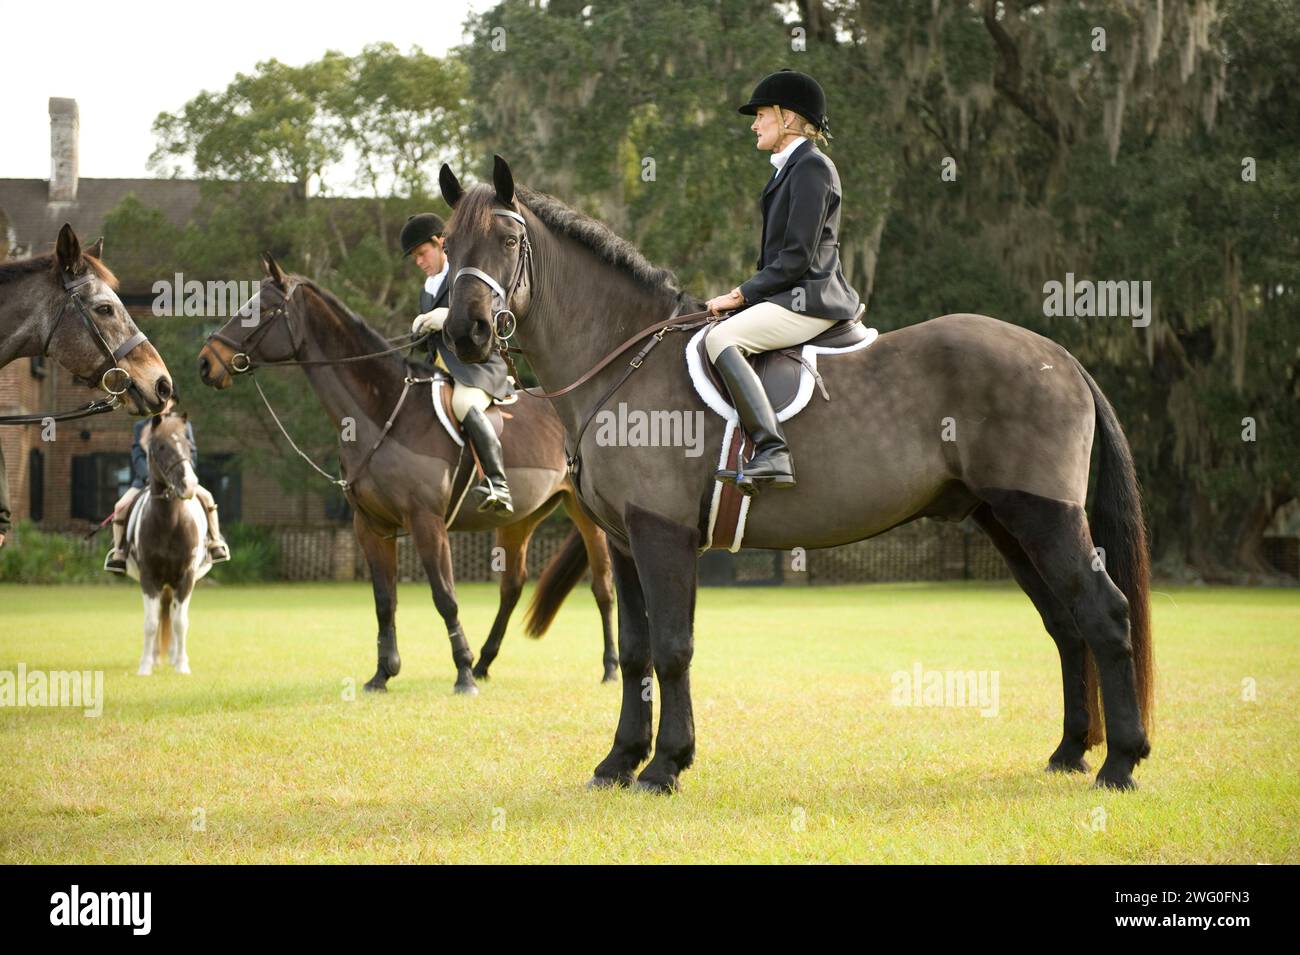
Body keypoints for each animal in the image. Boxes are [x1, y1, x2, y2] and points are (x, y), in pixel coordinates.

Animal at [128, 412, 211, 676]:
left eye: (188, 445)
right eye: (160, 447)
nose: (189, 484)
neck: (169, 522)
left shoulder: (186, 578)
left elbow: (180, 622)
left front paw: (182, 665)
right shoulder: (148, 579)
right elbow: (151, 623)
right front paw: (145, 666)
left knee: (174, 615)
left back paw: (174, 657)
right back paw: (155, 657)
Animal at [196, 260, 618, 693]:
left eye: (261, 310)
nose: (206, 362)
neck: (383, 412)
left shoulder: (426, 521)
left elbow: (445, 596)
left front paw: (463, 673)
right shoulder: (371, 525)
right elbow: (385, 600)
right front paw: (383, 674)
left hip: (584, 516)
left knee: (602, 587)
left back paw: (608, 667)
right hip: (519, 518)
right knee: (512, 586)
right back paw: (487, 662)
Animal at [435, 156, 1154, 793]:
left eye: (507, 240)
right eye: (448, 247)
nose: (467, 334)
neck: (624, 359)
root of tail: (1060, 356)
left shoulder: (662, 535)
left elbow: (672, 647)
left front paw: (666, 765)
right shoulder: (624, 540)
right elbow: (637, 652)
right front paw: (620, 762)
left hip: (1044, 517)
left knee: (1104, 613)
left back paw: (1121, 762)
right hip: (1007, 521)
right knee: (1067, 625)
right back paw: (1070, 752)